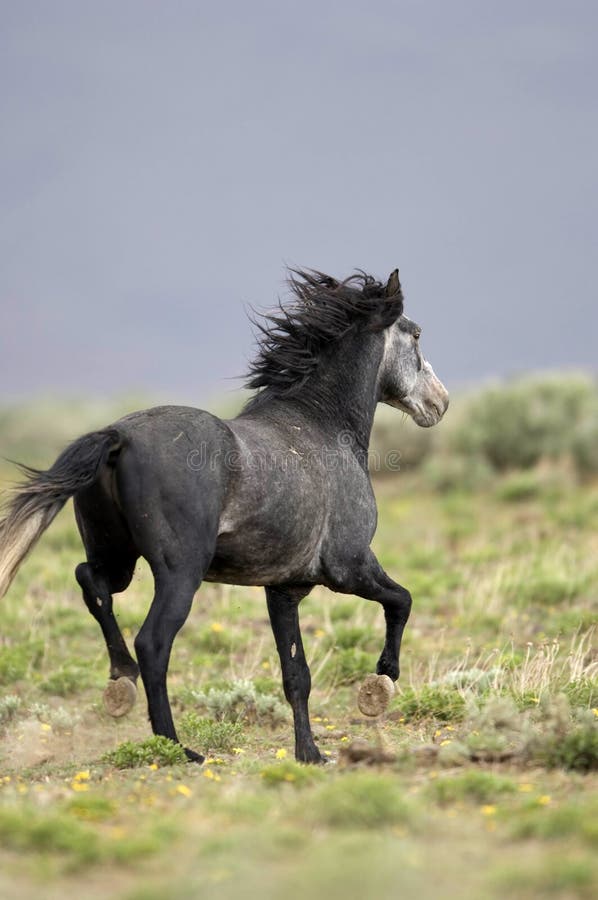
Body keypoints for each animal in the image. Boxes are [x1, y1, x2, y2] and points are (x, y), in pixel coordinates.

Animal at [0, 268, 448, 763]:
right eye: (416, 334)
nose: (440, 402)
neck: (322, 428)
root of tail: (118, 436)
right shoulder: (349, 566)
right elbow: (402, 600)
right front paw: (378, 687)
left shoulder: (285, 589)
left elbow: (297, 675)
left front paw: (310, 754)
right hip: (180, 573)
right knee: (153, 643)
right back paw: (178, 748)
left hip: (117, 556)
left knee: (91, 581)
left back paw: (120, 683)